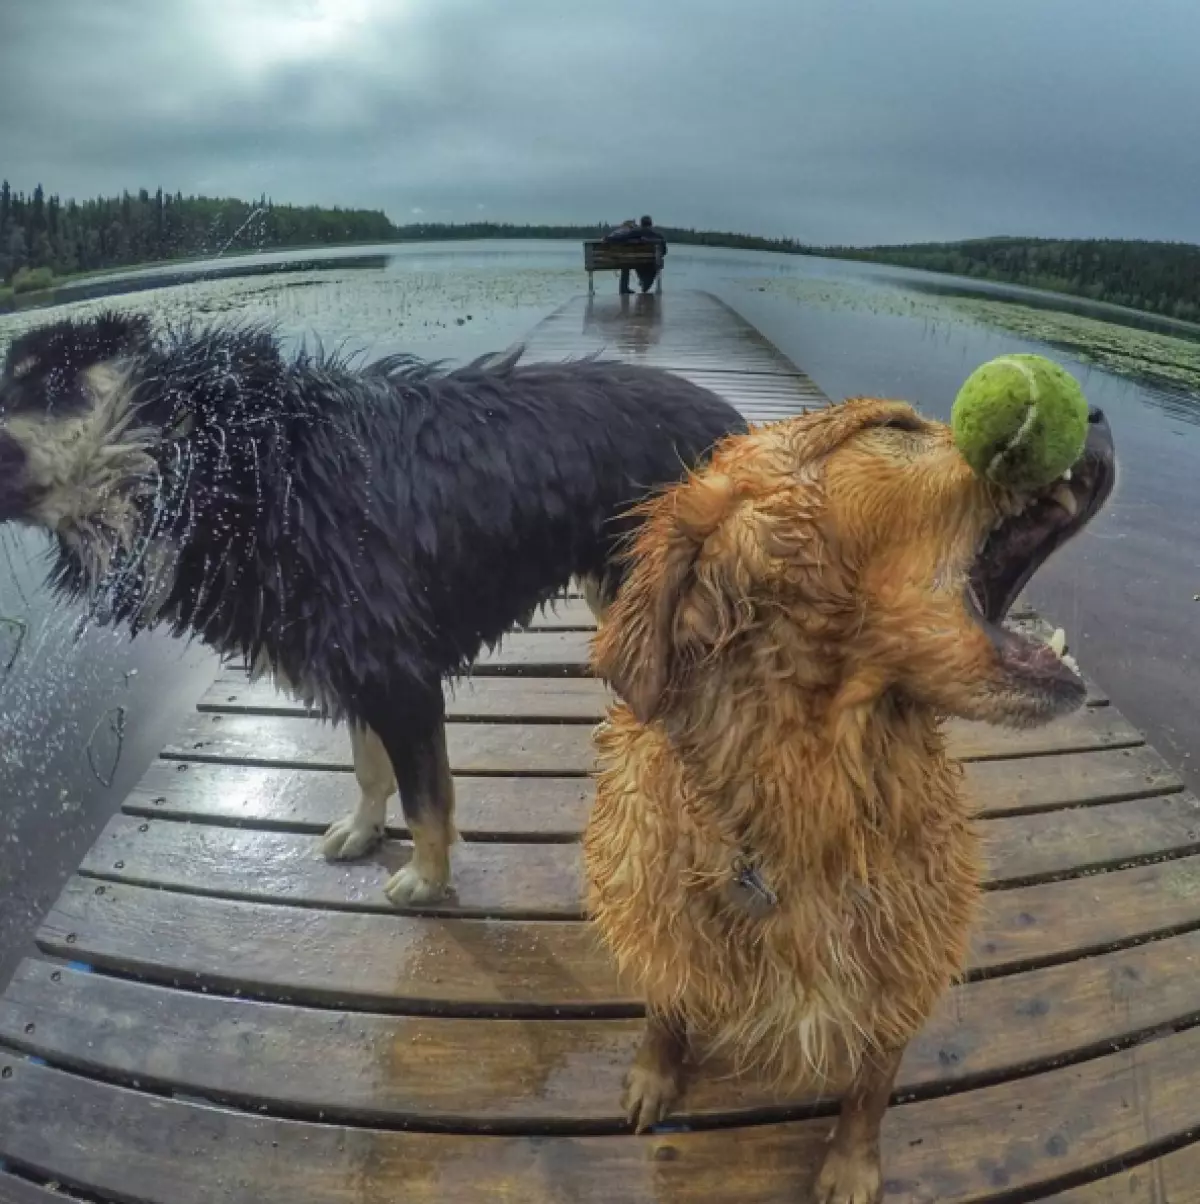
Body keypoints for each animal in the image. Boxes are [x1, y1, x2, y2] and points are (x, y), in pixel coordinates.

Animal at [0, 310, 746, 905]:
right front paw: (362, 832)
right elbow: (368, 766)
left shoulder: (397, 671)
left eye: (59, 388)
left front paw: (428, 878)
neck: (240, 470)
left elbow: (425, 797)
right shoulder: (352, 661)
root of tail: (737, 422)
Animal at [580, 390, 1112, 1199]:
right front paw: (653, 1074)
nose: (1100, 415)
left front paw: (851, 1165)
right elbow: (668, 1006)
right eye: (891, 427)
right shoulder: (665, 916)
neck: (816, 792)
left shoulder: (903, 959)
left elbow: (872, 1081)